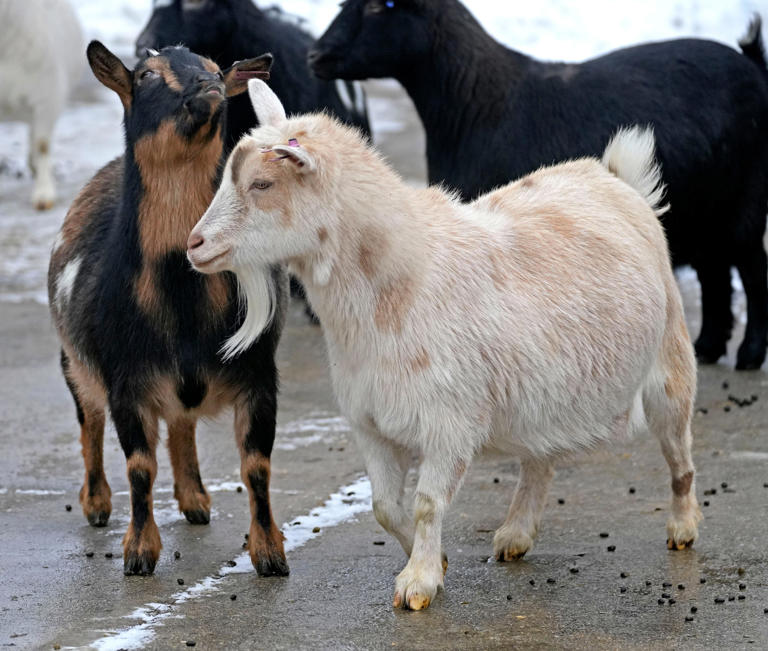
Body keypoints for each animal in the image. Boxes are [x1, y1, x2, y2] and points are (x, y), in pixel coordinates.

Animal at [48, 43, 289, 577]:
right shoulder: (125, 381)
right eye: (146, 75)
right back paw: (96, 504)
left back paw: (195, 499)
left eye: (218, 68)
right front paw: (138, 553)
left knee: (182, 421)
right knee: (88, 420)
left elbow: (257, 467)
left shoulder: (260, 373)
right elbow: (139, 467)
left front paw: (270, 553)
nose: (209, 88)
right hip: (71, 360)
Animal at [187, 79, 700, 610]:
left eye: (262, 185)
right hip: (543, 394)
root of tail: (617, 179)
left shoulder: (448, 424)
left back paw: (682, 528)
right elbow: (385, 506)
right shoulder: (370, 423)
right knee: (539, 462)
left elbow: (427, 504)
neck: (400, 283)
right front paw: (434, 560)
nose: (195, 244)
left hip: (671, 367)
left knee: (679, 453)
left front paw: (418, 583)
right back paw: (516, 534)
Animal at [309, 1, 768, 371]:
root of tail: (753, 65)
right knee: (714, 273)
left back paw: (749, 355)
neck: (476, 105)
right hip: (707, 210)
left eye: (379, 6)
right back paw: (707, 347)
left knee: (750, 267)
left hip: (743, 202)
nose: (316, 55)